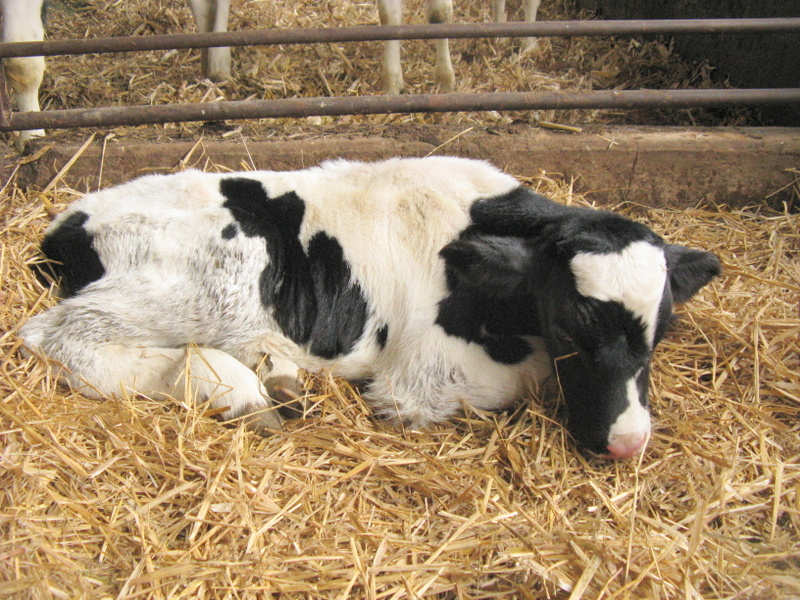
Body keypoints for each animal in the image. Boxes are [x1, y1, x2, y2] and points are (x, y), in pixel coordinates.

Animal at [20, 157, 721, 459]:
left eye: (659, 333)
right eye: (571, 329)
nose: (628, 443)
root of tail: (65, 224)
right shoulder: (428, 370)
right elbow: (522, 376)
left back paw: (275, 375)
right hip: (205, 285)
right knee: (58, 336)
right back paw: (235, 388)